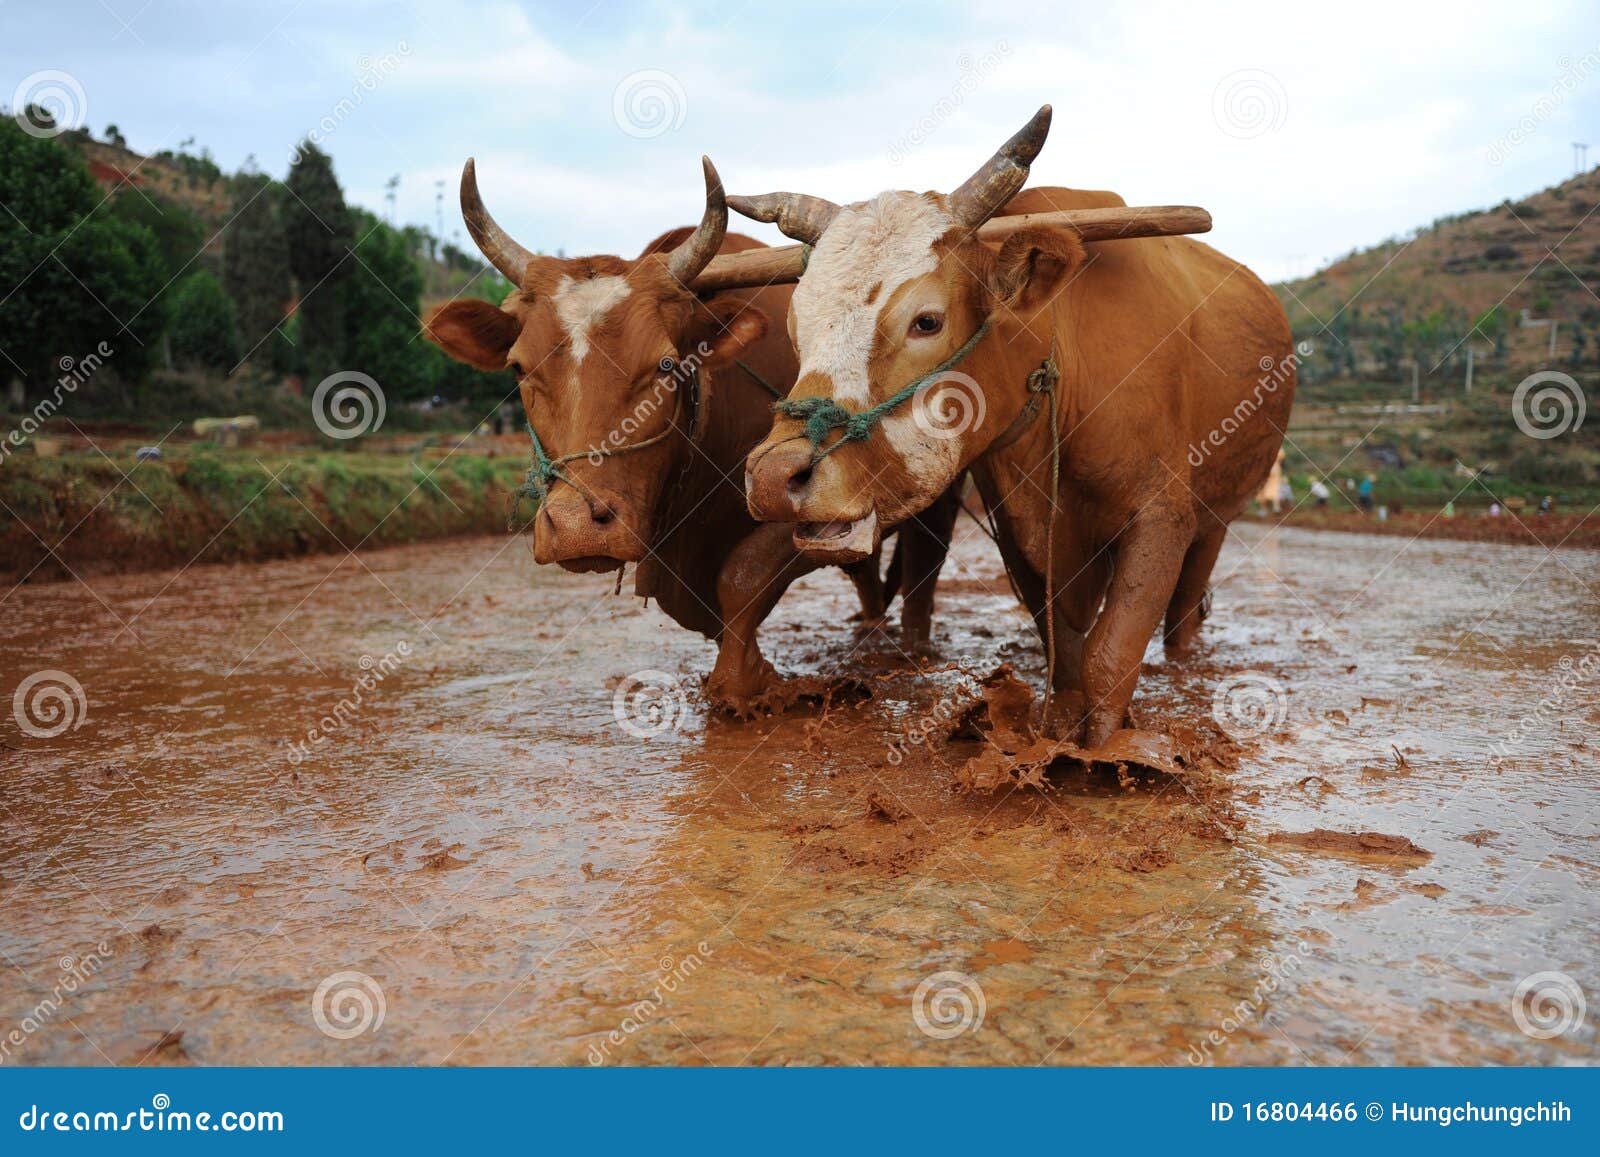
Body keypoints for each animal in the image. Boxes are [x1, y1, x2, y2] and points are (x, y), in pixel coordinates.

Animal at [422, 158, 958, 713]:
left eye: (665, 364)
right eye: (519, 368)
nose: (576, 527)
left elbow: (741, 580)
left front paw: (746, 685)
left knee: (922, 573)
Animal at [731, 106, 1295, 747]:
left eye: (927, 320)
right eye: (797, 326)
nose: (774, 476)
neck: (1062, 358)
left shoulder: (1161, 518)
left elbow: (1110, 655)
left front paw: (1100, 751)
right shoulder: (1023, 529)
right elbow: (1067, 652)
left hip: (1217, 520)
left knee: (1181, 621)